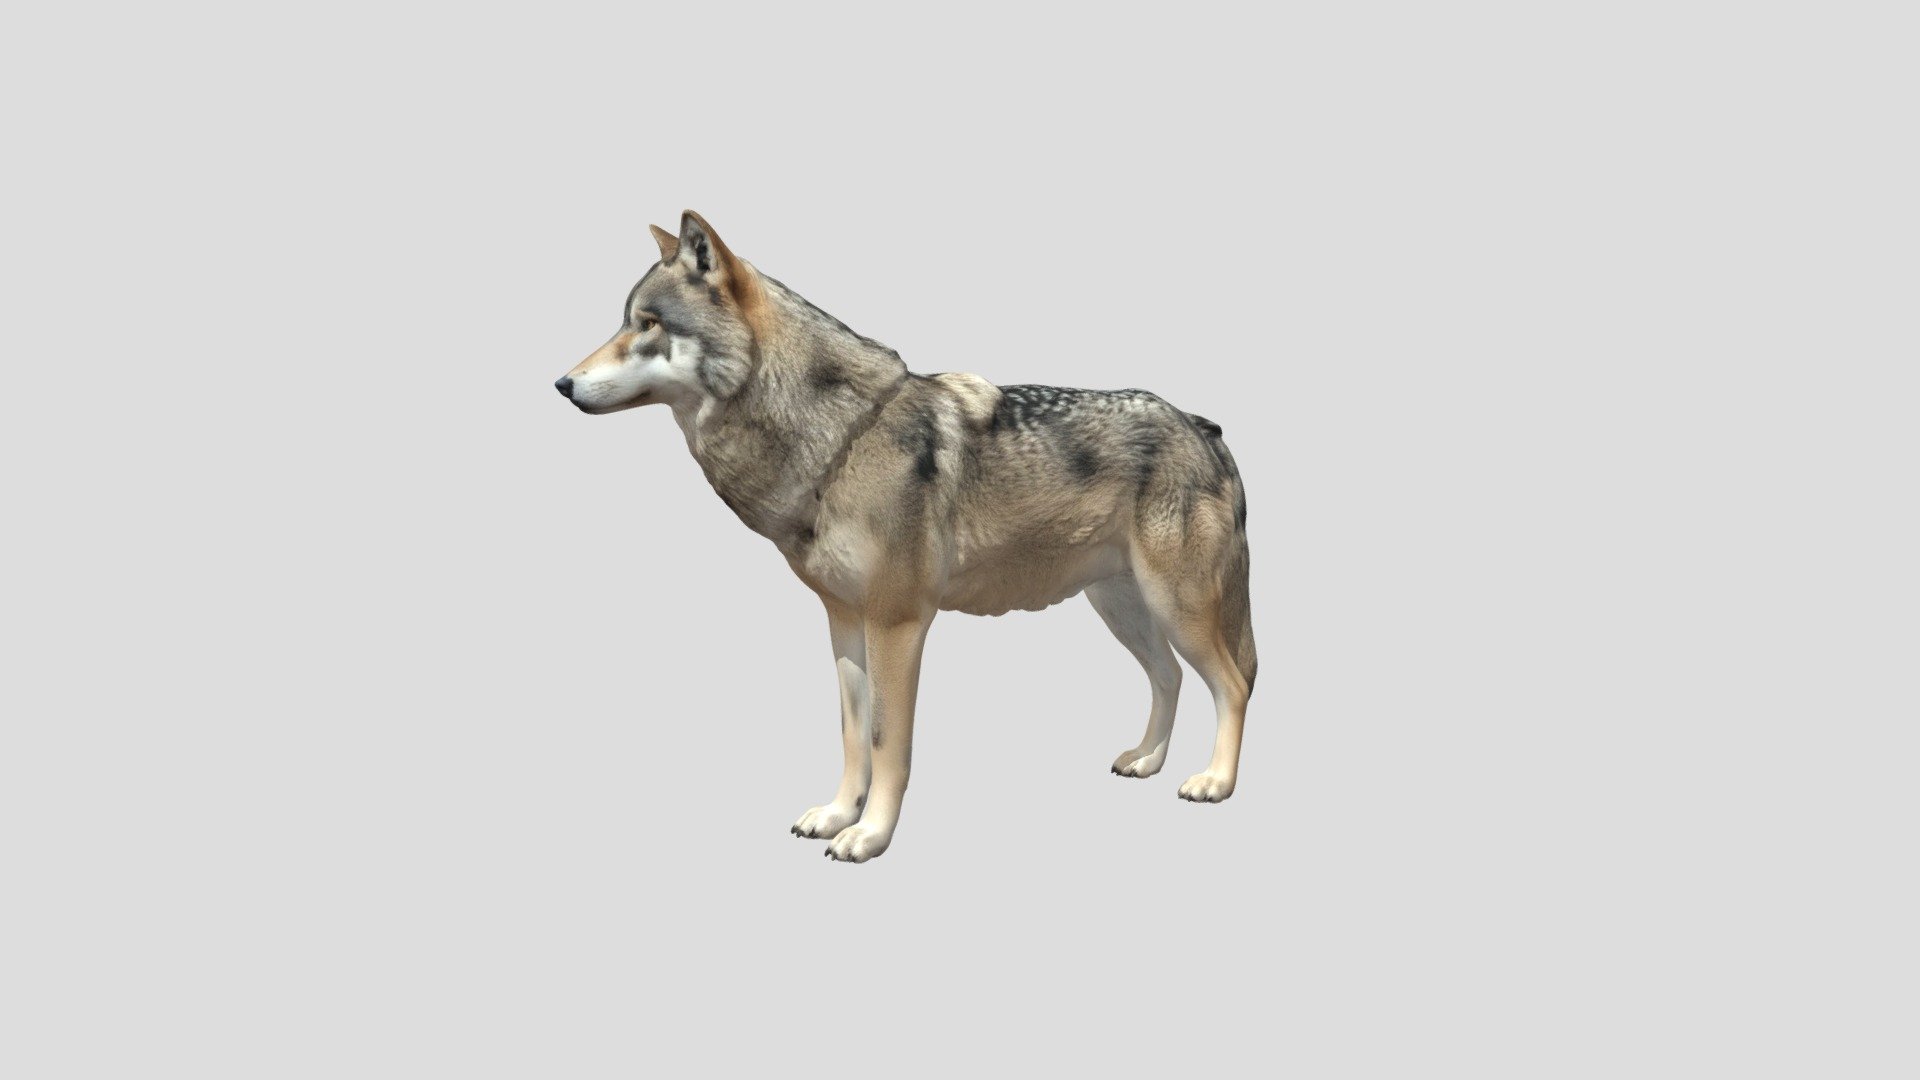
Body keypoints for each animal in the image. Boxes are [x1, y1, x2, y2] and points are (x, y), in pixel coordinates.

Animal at [555, 212, 1257, 862]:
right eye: (626, 321)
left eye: (648, 324)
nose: (561, 384)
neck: (842, 441)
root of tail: (1203, 426)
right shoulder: (845, 623)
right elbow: (851, 737)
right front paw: (837, 816)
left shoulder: (897, 624)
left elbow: (887, 741)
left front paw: (869, 836)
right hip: (1124, 610)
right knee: (1170, 678)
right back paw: (1146, 760)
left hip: (1177, 609)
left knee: (1233, 683)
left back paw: (1215, 783)